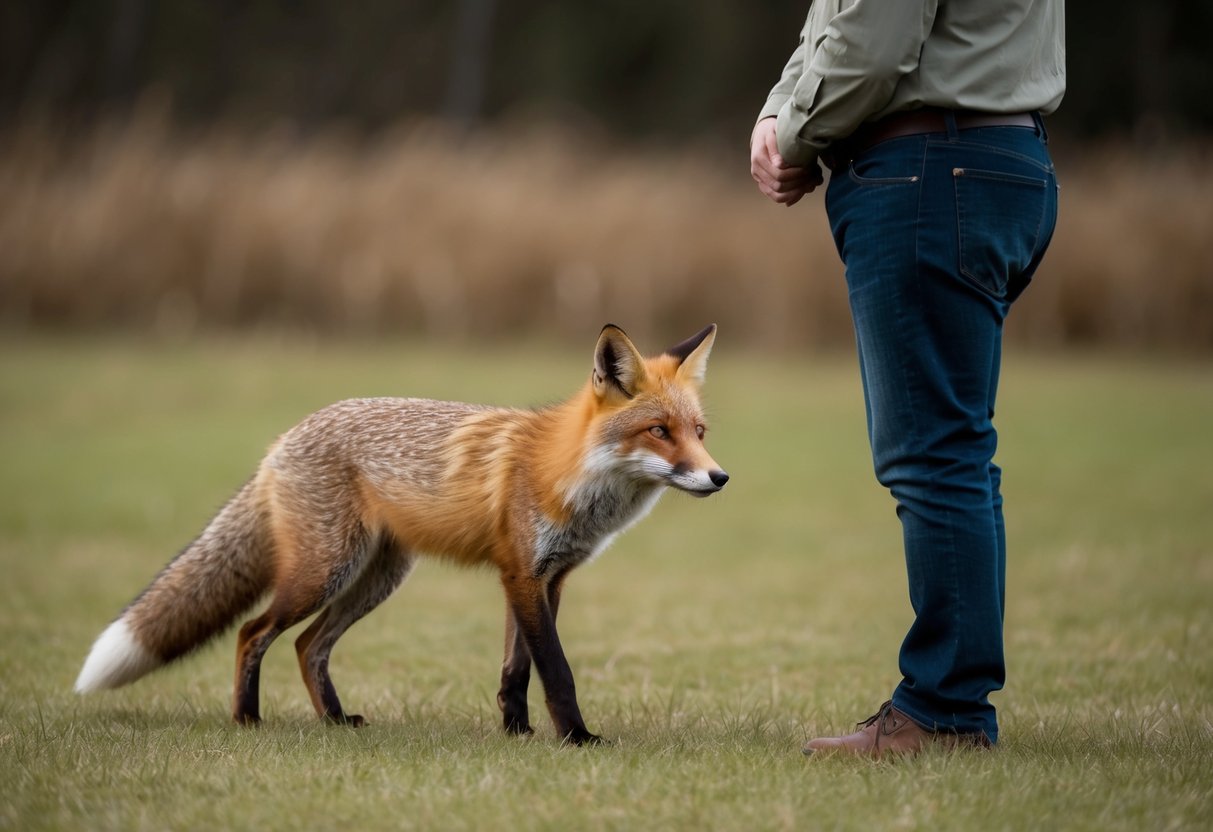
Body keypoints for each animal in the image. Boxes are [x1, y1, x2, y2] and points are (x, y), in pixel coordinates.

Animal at [75, 323, 727, 744]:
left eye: (698, 431)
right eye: (659, 431)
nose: (719, 477)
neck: (568, 472)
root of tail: (284, 438)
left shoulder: (546, 577)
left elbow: (515, 670)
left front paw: (515, 733)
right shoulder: (522, 573)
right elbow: (556, 670)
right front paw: (576, 738)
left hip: (376, 579)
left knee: (306, 645)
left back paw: (334, 722)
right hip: (323, 572)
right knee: (251, 632)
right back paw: (247, 721)